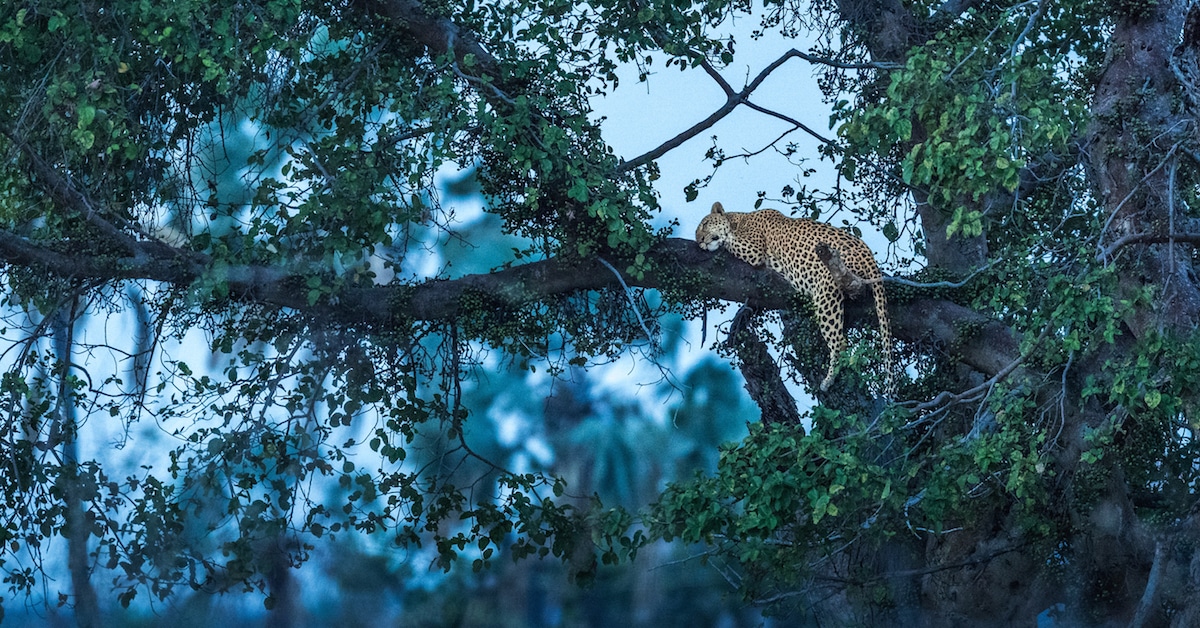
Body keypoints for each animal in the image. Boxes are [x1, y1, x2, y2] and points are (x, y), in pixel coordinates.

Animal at [695, 201, 894, 396]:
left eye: (704, 224)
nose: (700, 242)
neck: (739, 220)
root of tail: (869, 256)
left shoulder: (753, 249)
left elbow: (728, 240)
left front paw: (720, 239)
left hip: (826, 292)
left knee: (840, 342)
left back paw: (829, 379)